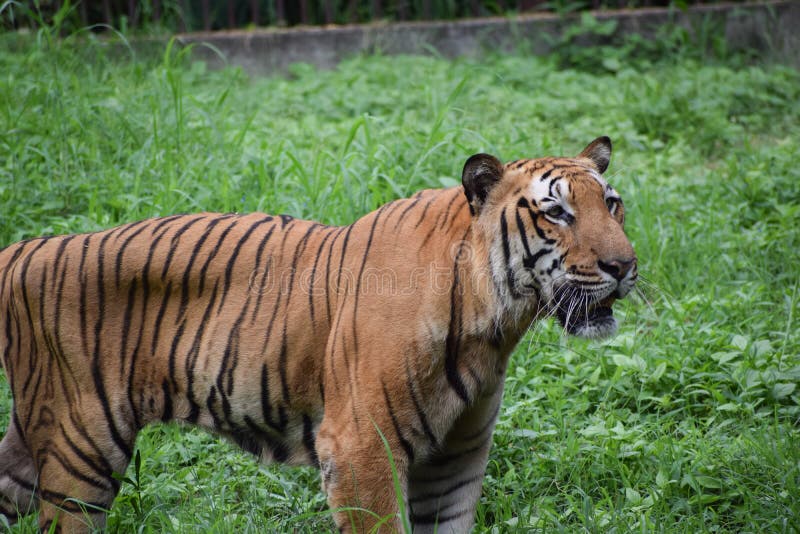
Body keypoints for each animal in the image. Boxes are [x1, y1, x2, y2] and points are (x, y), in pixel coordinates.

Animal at [0, 137, 636, 532]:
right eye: (556, 212)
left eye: (612, 204)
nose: (625, 266)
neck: (494, 323)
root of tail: (22, 251)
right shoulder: (361, 447)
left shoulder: (456, 456)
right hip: (81, 449)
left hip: (35, 445)